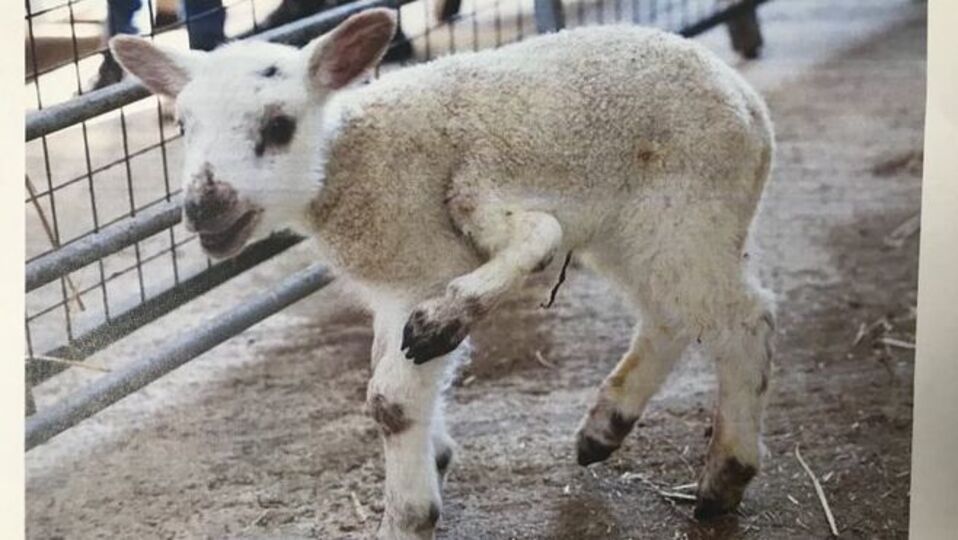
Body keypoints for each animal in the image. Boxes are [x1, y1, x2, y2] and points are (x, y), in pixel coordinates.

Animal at [109, 8, 776, 538]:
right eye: (182, 126)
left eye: (278, 126)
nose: (204, 207)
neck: (354, 160)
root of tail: (750, 105)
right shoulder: (394, 283)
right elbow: (392, 371)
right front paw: (437, 453)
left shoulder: (431, 257)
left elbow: (391, 397)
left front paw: (408, 515)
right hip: (637, 231)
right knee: (669, 317)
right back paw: (603, 429)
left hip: (687, 211)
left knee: (743, 321)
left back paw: (724, 477)